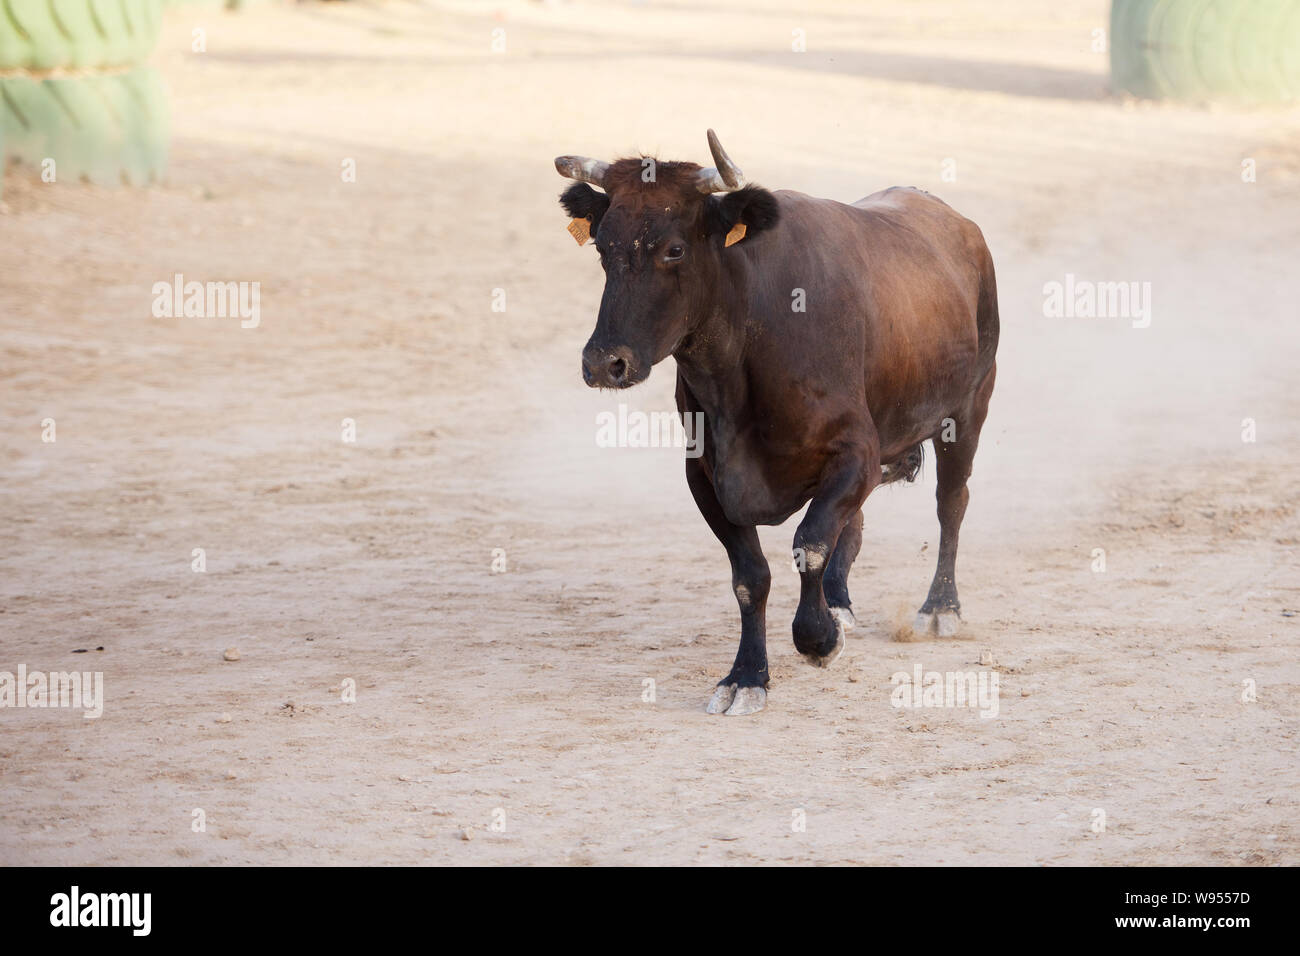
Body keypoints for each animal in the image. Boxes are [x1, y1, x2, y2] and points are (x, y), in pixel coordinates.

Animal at [555, 130, 999, 716]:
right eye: (603, 247)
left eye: (674, 249)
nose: (605, 362)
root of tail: (956, 221)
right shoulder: (706, 476)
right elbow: (752, 576)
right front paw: (748, 674)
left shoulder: (856, 454)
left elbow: (808, 545)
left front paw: (818, 639)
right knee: (855, 525)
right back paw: (840, 603)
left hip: (968, 411)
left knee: (951, 503)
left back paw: (939, 607)